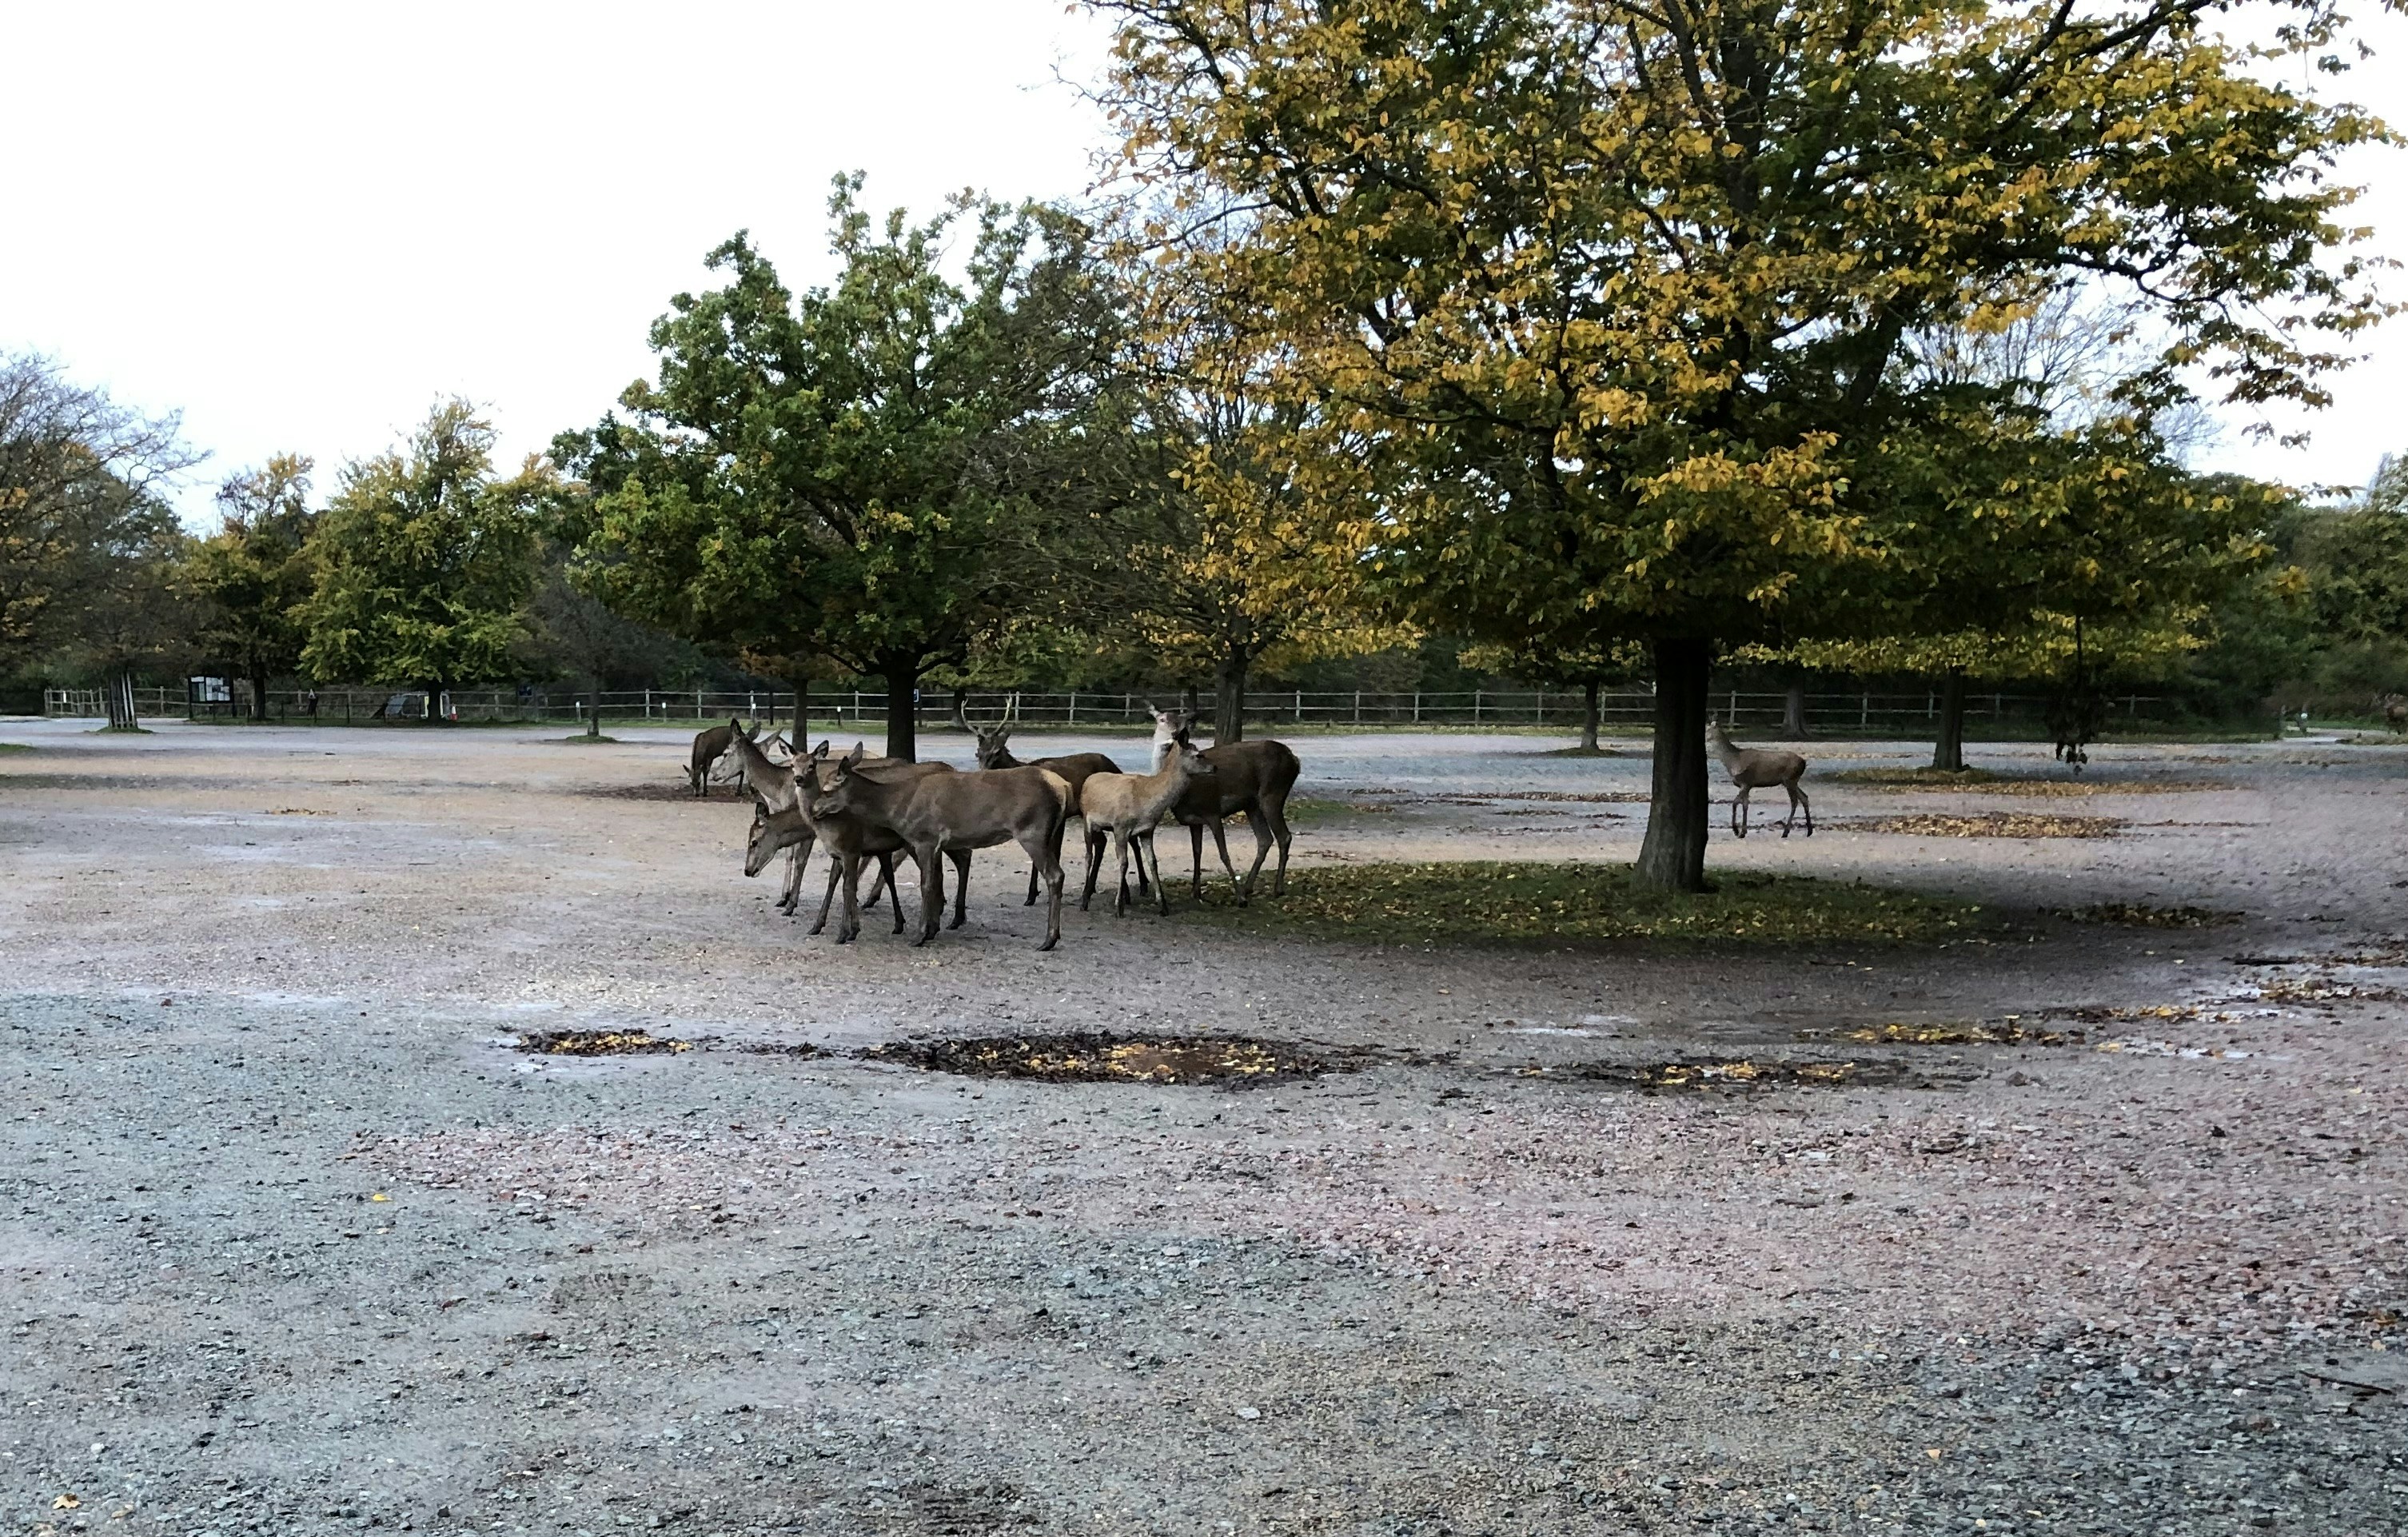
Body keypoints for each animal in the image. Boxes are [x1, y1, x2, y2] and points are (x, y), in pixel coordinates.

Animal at [810, 745, 1071, 950]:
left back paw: (1049, 939)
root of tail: (1064, 786)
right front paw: (932, 930)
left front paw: (919, 935)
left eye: (827, 789)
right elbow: (936, 880)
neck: (898, 806)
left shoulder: (925, 838)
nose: (812, 809)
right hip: (1049, 833)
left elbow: (926, 884)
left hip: (1032, 831)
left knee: (1055, 875)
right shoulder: (934, 844)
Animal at [962, 717, 1133, 905]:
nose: (983, 773)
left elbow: (1053, 853)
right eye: (978, 753)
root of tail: (1116, 767)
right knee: (1102, 841)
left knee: (1104, 841)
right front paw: (1032, 894)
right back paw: (1109, 893)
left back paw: (1090, 893)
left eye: (997, 751)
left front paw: (1034, 894)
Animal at [1080, 734, 1217, 915]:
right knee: (1088, 855)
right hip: (1087, 820)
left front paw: (1163, 905)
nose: (1215, 767)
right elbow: (1124, 863)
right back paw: (1084, 899)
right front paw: (1118, 907)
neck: (1147, 802)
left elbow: (1153, 862)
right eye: (1198, 755)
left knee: (1101, 846)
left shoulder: (1147, 831)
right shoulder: (1120, 826)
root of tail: (1087, 781)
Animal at [1145, 707, 1301, 905]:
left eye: (1181, 720)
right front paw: (1196, 892)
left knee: (1284, 836)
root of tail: (1295, 760)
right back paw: (1249, 887)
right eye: (1161, 719)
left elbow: (1224, 853)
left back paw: (1277, 889)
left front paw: (1239, 896)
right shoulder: (1194, 821)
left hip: (1273, 793)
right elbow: (1197, 852)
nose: (1174, 735)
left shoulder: (1212, 810)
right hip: (1252, 804)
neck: (1184, 796)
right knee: (1265, 839)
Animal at [1706, 718, 1812, 838]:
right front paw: (1743, 832)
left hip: (1789, 780)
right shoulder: (1747, 785)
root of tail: (1803, 762)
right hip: (1792, 781)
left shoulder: (1746, 782)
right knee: (1804, 797)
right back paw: (1809, 831)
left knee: (1794, 801)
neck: (1733, 762)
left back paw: (1786, 832)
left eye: (1706, 729)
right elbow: (1745, 805)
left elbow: (1735, 803)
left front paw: (1736, 831)